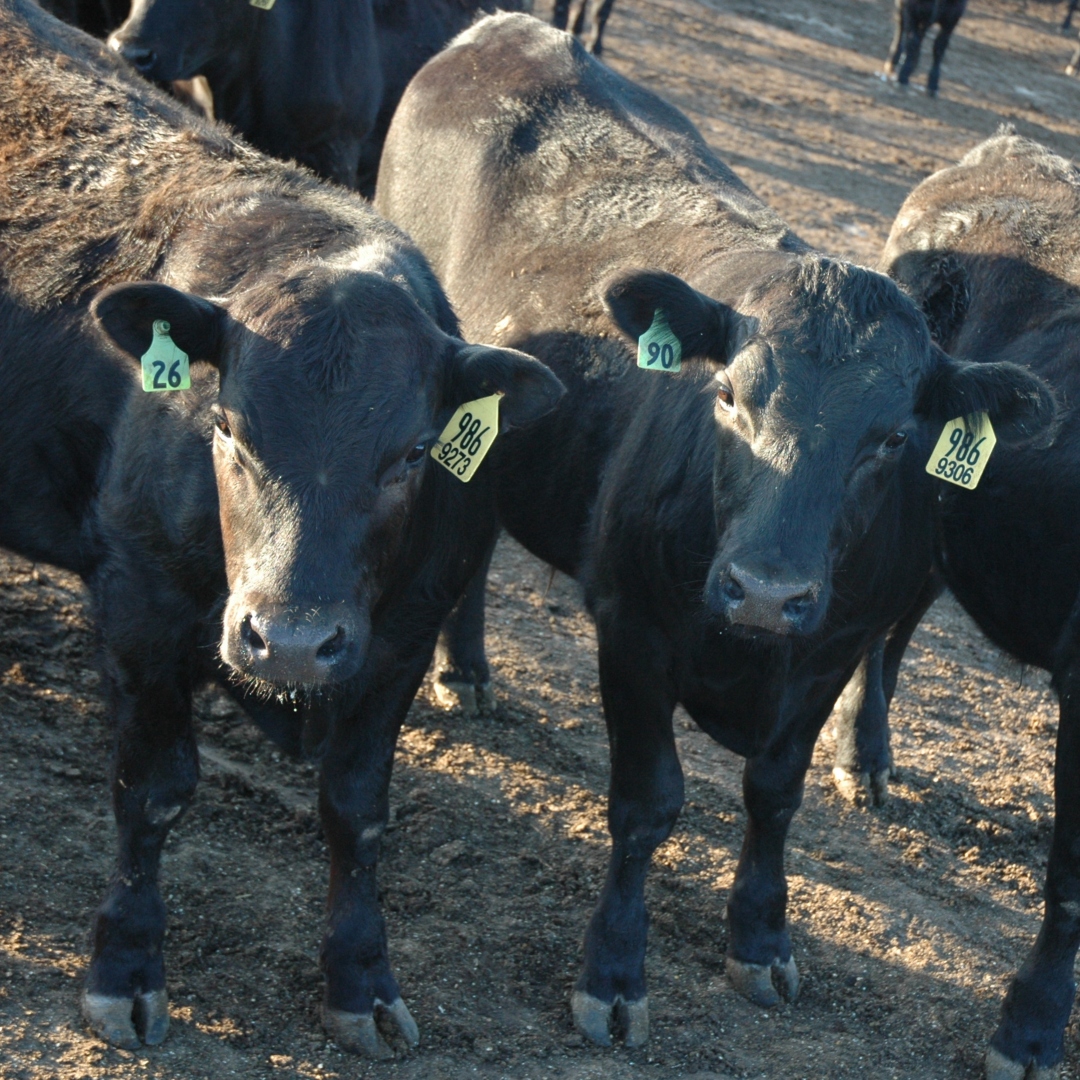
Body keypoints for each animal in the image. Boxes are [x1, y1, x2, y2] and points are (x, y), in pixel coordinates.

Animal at [375, 13, 1054, 1048]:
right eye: (728, 395)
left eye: (892, 438)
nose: (766, 590)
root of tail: (509, 30)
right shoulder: (633, 624)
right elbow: (648, 802)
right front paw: (613, 971)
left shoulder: (834, 646)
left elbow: (776, 795)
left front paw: (762, 940)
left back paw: (470, 669)